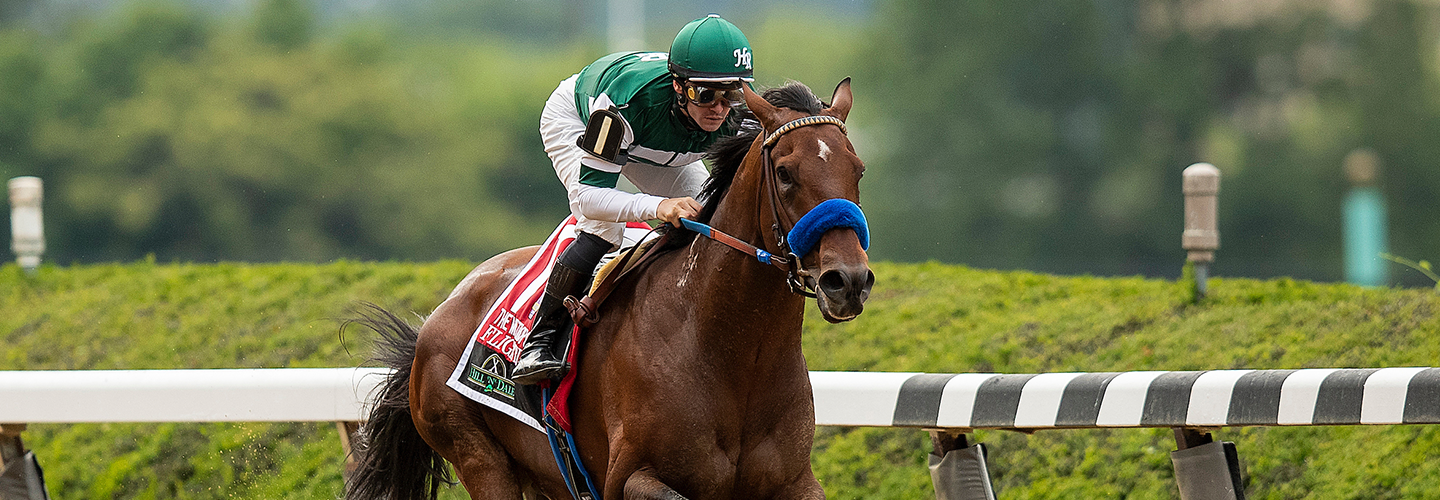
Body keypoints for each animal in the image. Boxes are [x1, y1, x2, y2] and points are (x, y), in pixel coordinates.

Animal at [347, 79, 873, 500]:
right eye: (785, 173)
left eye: (858, 169)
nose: (847, 280)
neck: (733, 353)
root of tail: (438, 316)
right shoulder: (629, 478)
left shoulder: (794, 483)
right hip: (478, 456)